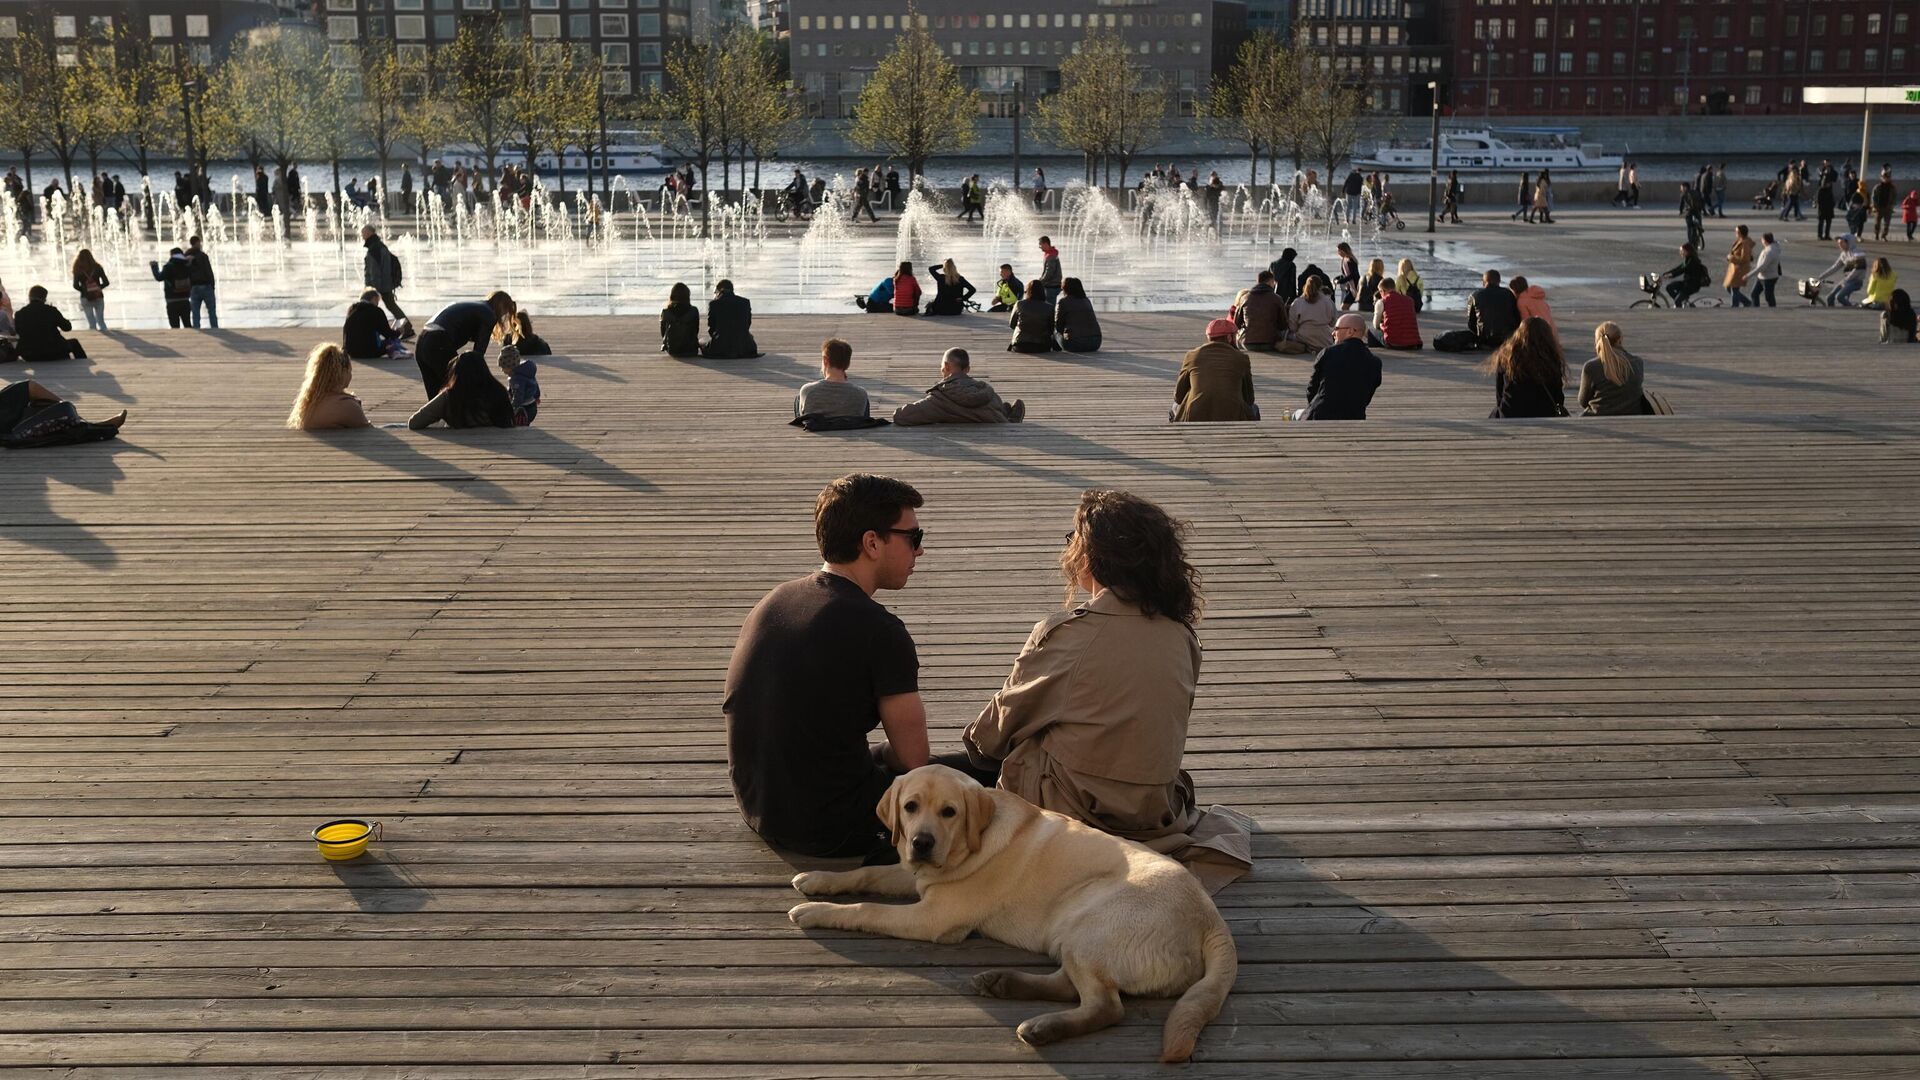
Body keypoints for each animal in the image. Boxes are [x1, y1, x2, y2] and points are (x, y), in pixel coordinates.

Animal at [787, 760, 1236, 1053]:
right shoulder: (917, 877)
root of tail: (1212, 920)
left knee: (1107, 1006)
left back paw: (1042, 1027)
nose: (922, 842)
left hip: (1087, 917)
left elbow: (867, 909)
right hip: (1072, 935)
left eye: (949, 812)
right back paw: (1004, 983)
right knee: (1072, 985)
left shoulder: (933, 918)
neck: (970, 842)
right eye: (910, 807)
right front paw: (818, 880)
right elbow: (866, 875)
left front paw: (817, 911)